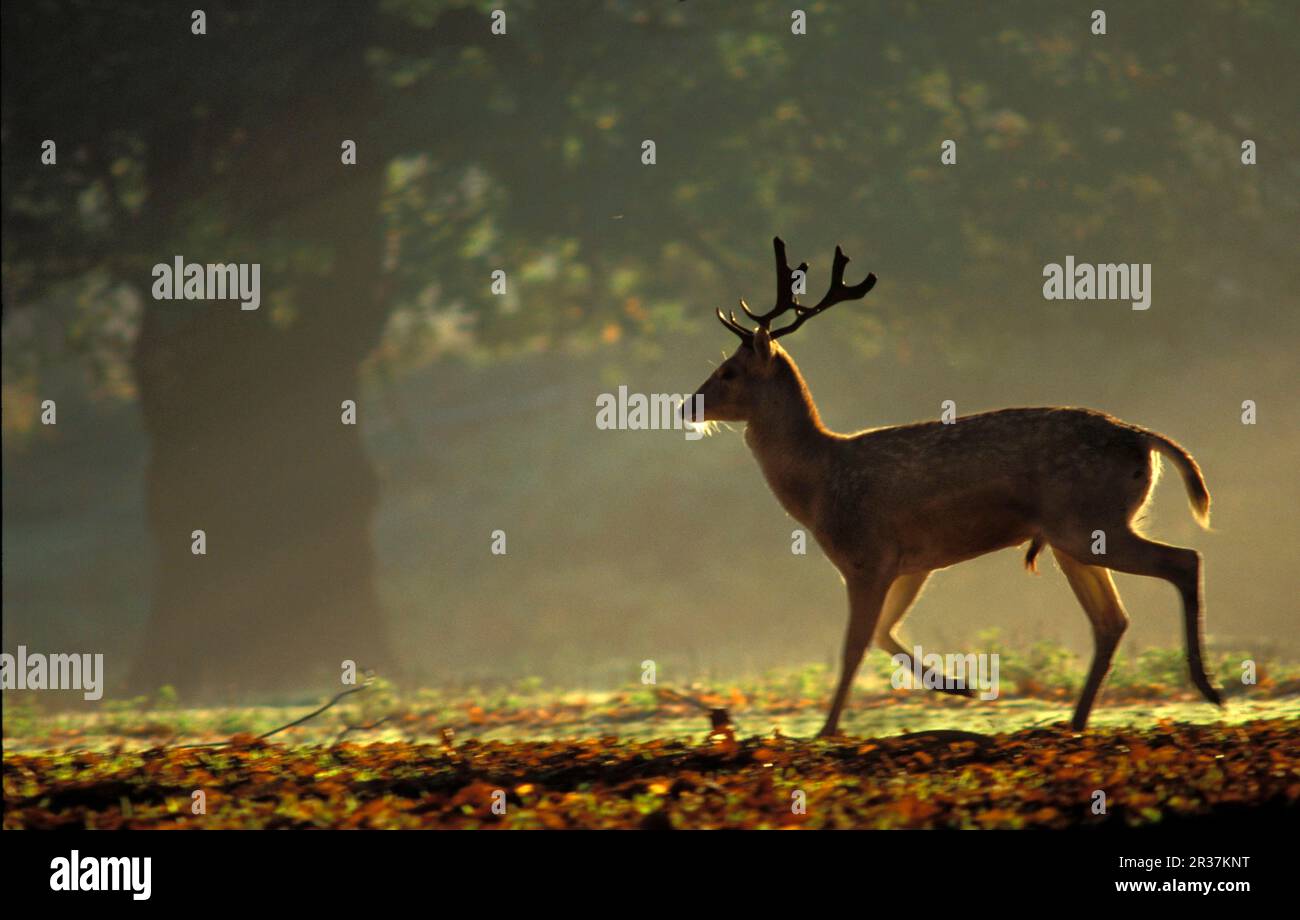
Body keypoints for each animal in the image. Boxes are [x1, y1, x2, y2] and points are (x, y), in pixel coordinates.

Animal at [687, 237, 1223, 737]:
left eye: (728, 371)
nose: (687, 405)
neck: (818, 484)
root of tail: (1144, 438)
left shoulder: (866, 556)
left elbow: (854, 645)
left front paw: (828, 729)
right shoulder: (911, 563)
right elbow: (884, 634)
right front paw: (961, 686)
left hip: (1090, 522)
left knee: (1184, 561)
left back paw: (1206, 688)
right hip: (1073, 538)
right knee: (1112, 620)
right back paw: (1074, 720)